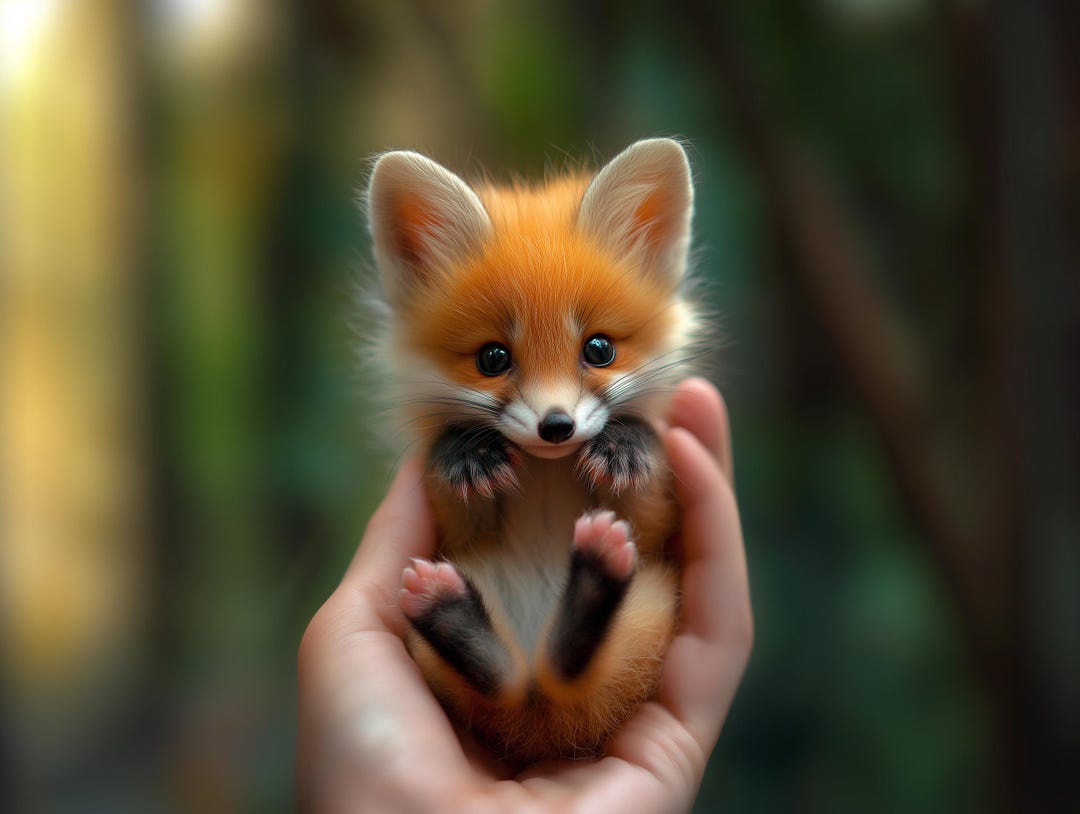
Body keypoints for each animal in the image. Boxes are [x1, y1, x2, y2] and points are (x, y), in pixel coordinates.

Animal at [365, 138, 704, 764]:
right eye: (493, 358)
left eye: (599, 349)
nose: (557, 427)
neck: (548, 481)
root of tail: (542, 725)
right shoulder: (460, 536)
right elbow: (450, 478)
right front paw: (467, 456)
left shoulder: (654, 529)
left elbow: (647, 480)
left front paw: (625, 446)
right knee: (504, 680)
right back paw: (449, 610)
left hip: (648, 606)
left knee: (566, 668)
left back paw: (594, 570)